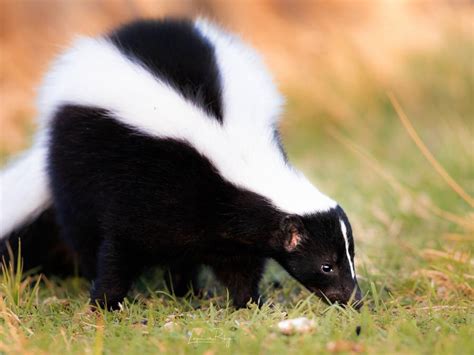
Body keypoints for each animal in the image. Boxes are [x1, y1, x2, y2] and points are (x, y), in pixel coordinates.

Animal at [0, 18, 362, 308]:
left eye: (351, 256)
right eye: (326, 265)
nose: (354, 299)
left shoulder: (223, 223)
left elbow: (240, 265)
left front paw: (250, 303)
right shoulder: (144, 193)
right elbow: (118, 249)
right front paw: (106, 303)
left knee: (182, 255)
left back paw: (186, 292)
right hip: (74, 169)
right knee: (83, 233)